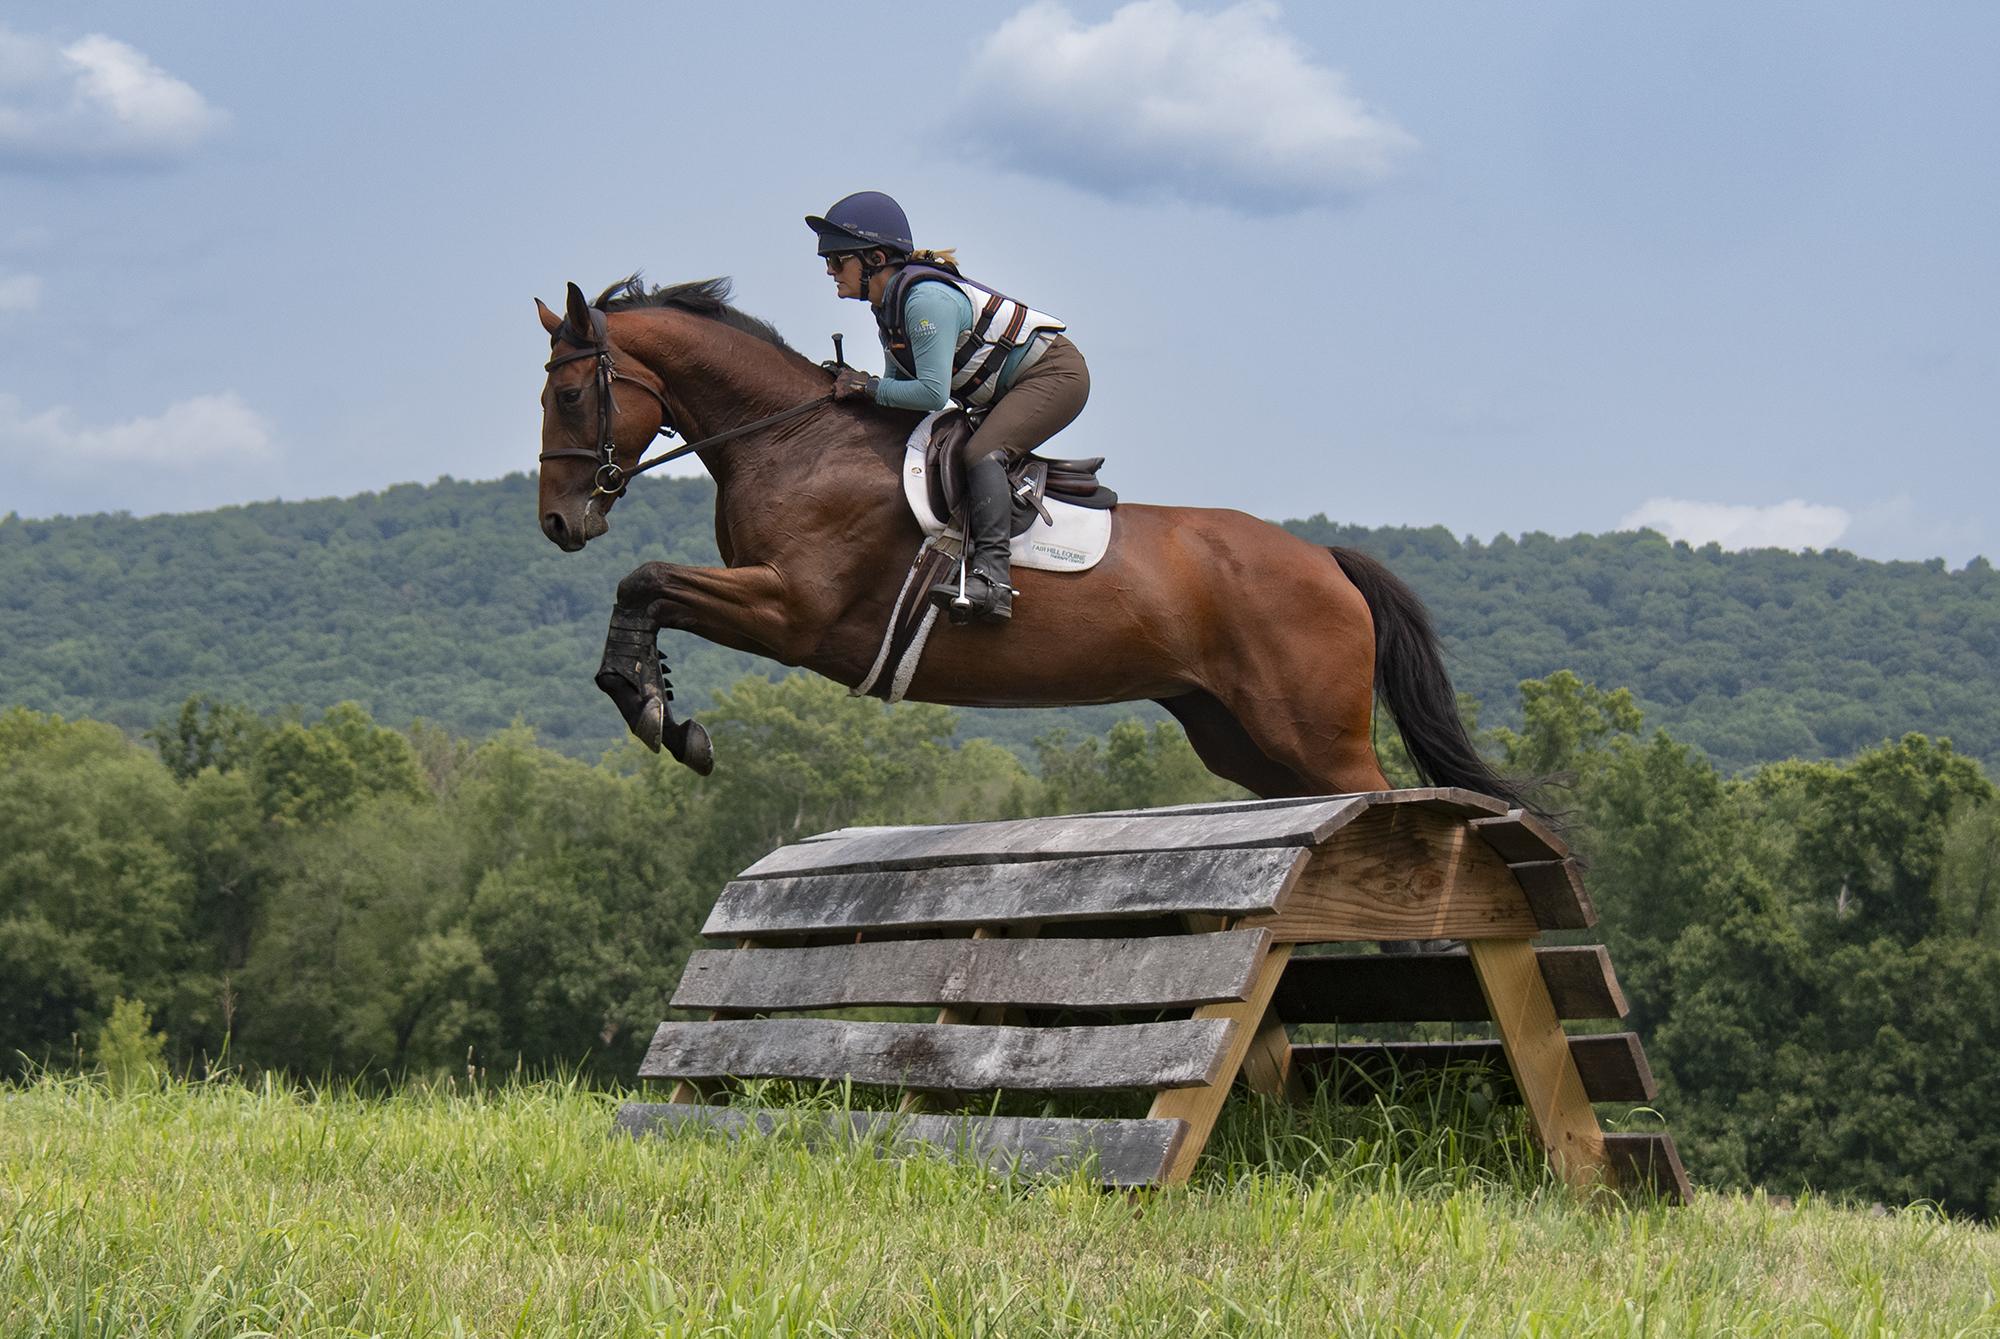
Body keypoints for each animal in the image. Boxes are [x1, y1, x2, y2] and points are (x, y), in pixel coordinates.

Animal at [535, 276, 1527, 810]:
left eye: (571, 396)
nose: (558, 523)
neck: (790, 438)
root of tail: (1327, 561)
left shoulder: (792, 610)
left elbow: (647, 578)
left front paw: (654, 709)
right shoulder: (769, 599)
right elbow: (649, 591)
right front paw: (659, 707)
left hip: (1318, 739)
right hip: (1243, 740)